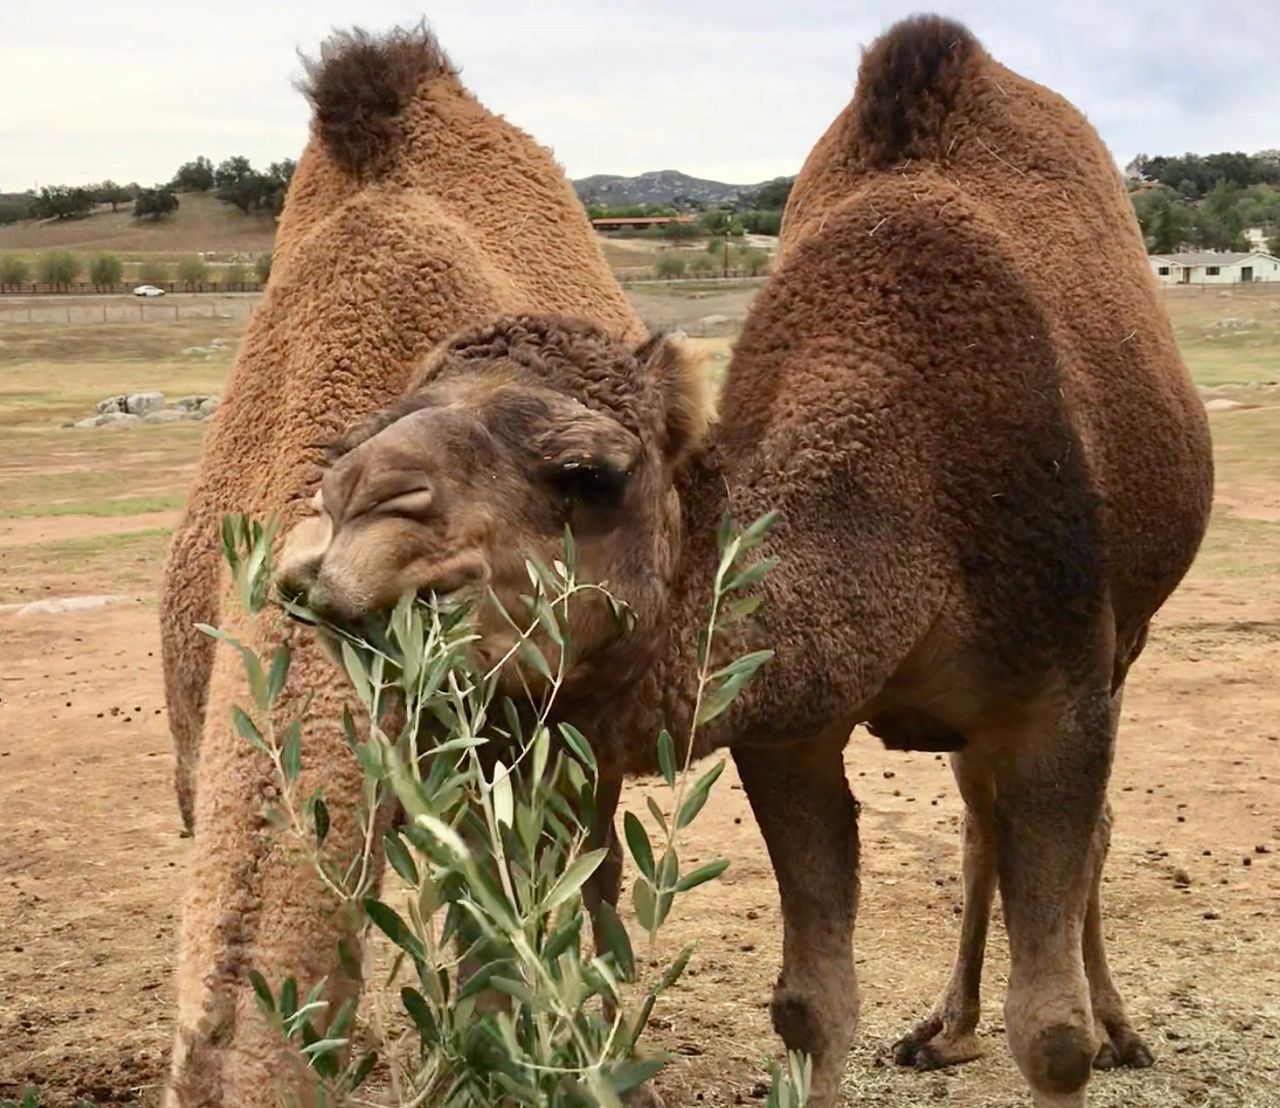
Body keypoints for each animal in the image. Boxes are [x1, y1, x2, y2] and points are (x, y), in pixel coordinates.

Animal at [276, 15, 1213, 1108]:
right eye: (357, 438)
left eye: (586, 471)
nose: (355, 511)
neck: (914, 501)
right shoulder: (789, 727)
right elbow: (810, 1003)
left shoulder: (1061, 688)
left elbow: (1053, 1032)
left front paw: (1086, 1031)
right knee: (981, 821)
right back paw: (945, 1029)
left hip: (1125, 640)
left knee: (1071, 830)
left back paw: (1114, 1025)